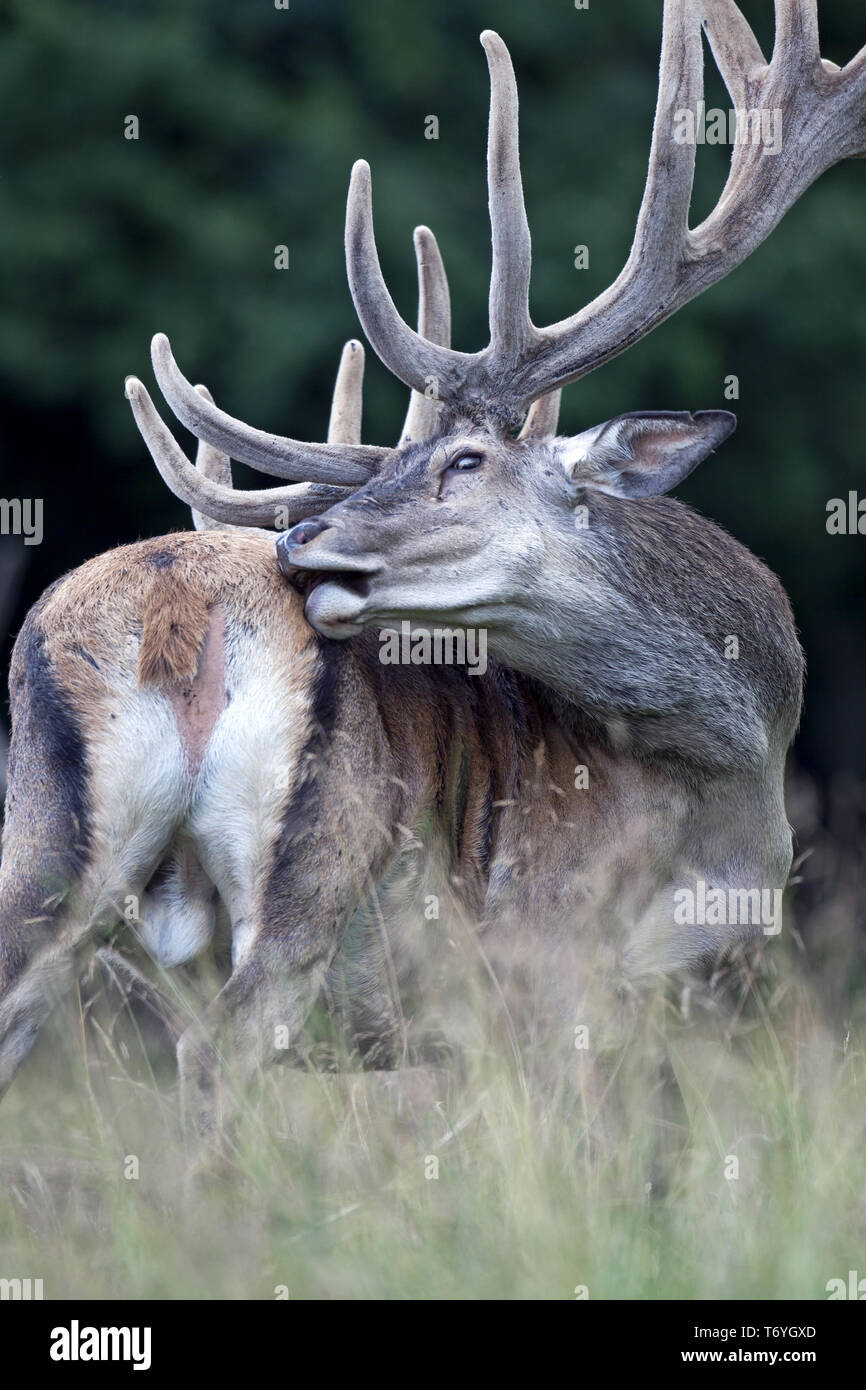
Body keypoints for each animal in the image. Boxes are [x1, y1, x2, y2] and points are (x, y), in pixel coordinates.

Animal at [1, 1, 862, 1147]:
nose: (298, 540)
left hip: (43, 843)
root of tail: (173, 600)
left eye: (461, 462)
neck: (727, 787)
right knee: (215, 1053)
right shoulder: (551, 957)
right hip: (318, 859)